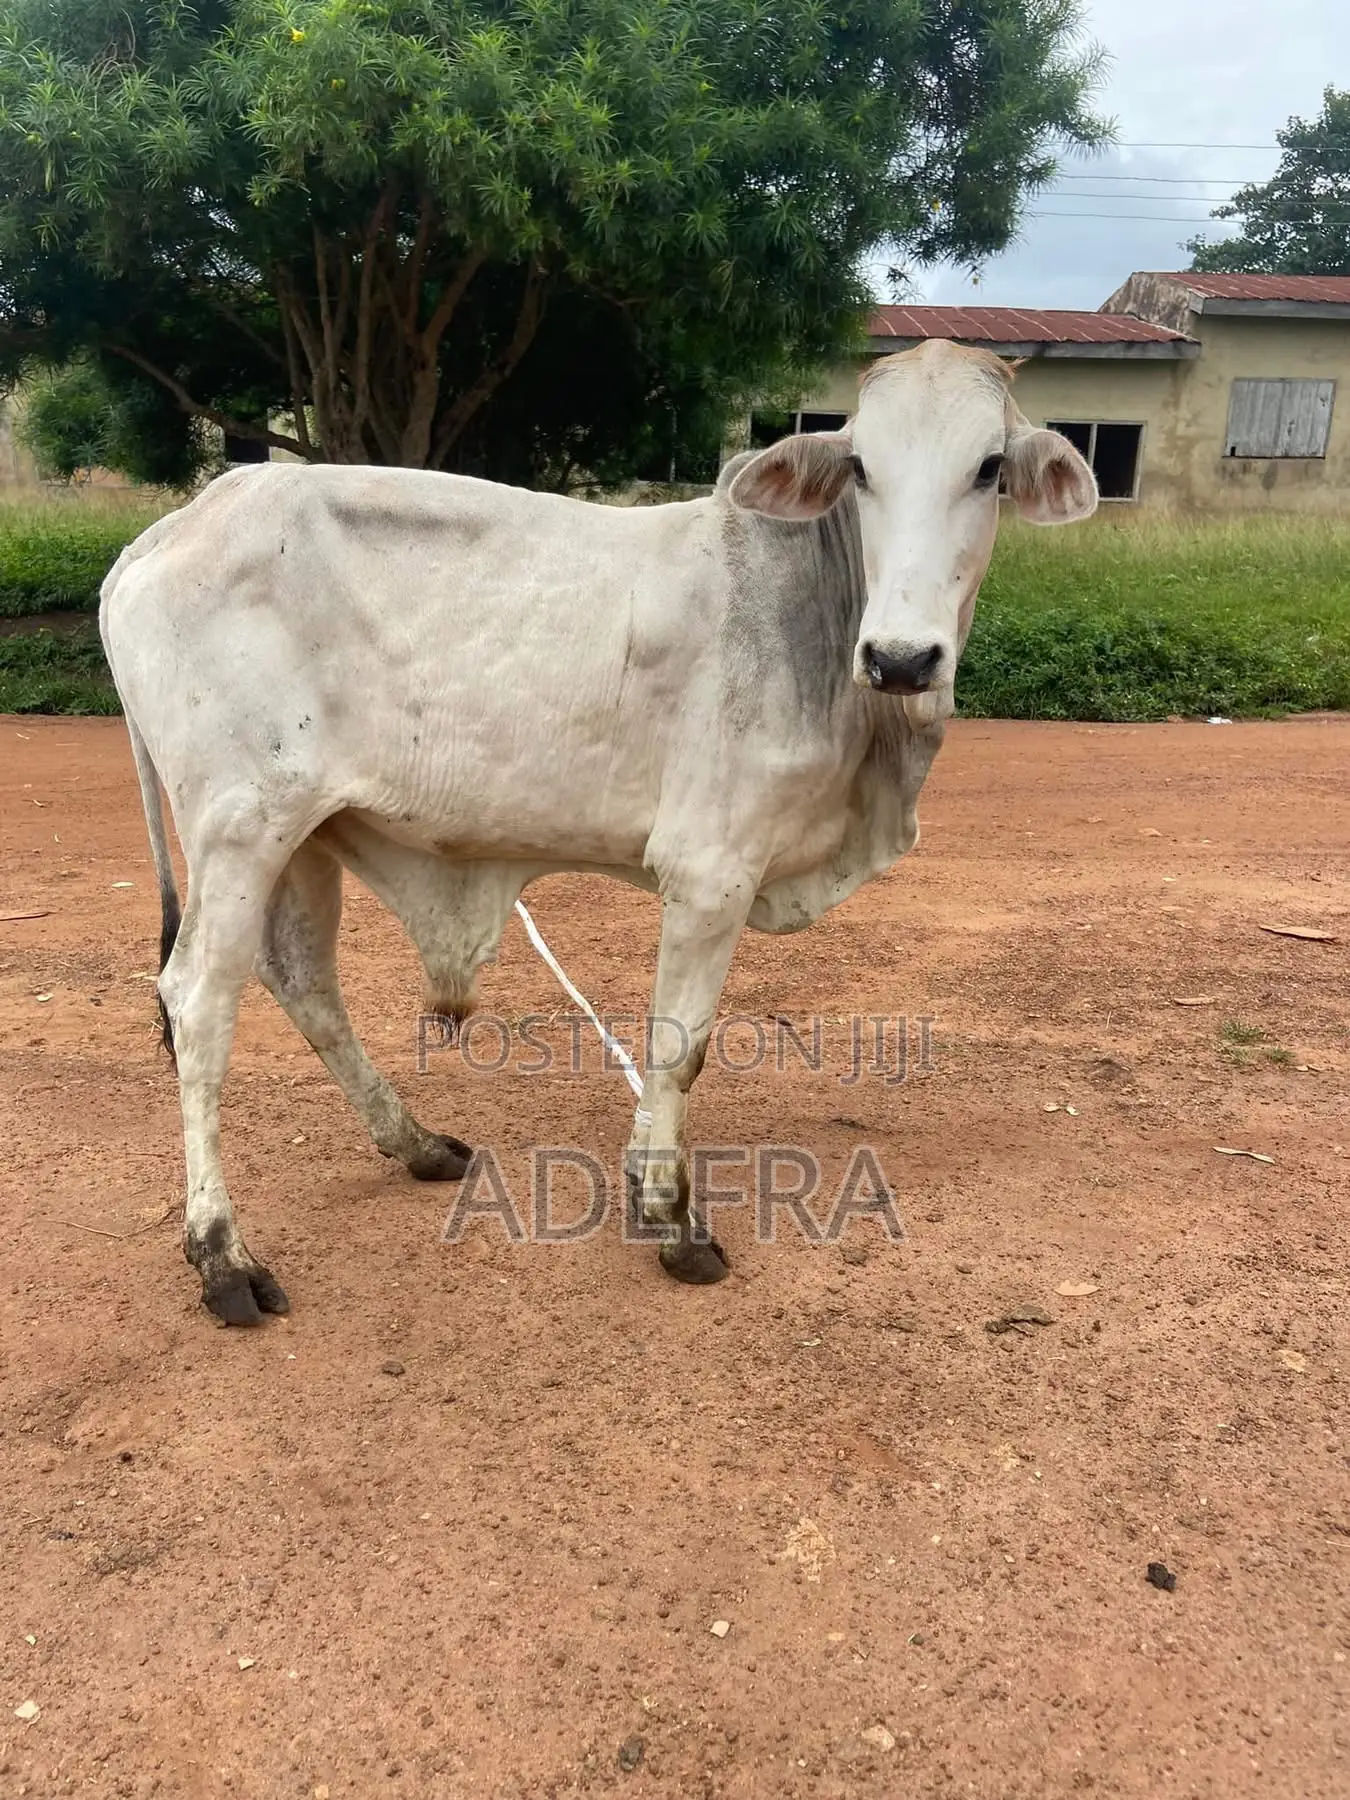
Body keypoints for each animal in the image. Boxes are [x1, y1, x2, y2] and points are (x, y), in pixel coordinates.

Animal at [99, 341, 1096, 1324]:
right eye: (861, 467)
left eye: (989, 468)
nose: (900, 657)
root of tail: (167, 532)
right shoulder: (711, 869)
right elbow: (680, 1046)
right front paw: (670, 1218)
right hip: (239, 830)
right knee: (199, 1001)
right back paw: (222, 1256)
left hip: (307, 833)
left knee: (303, 980)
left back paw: (415, 1143)